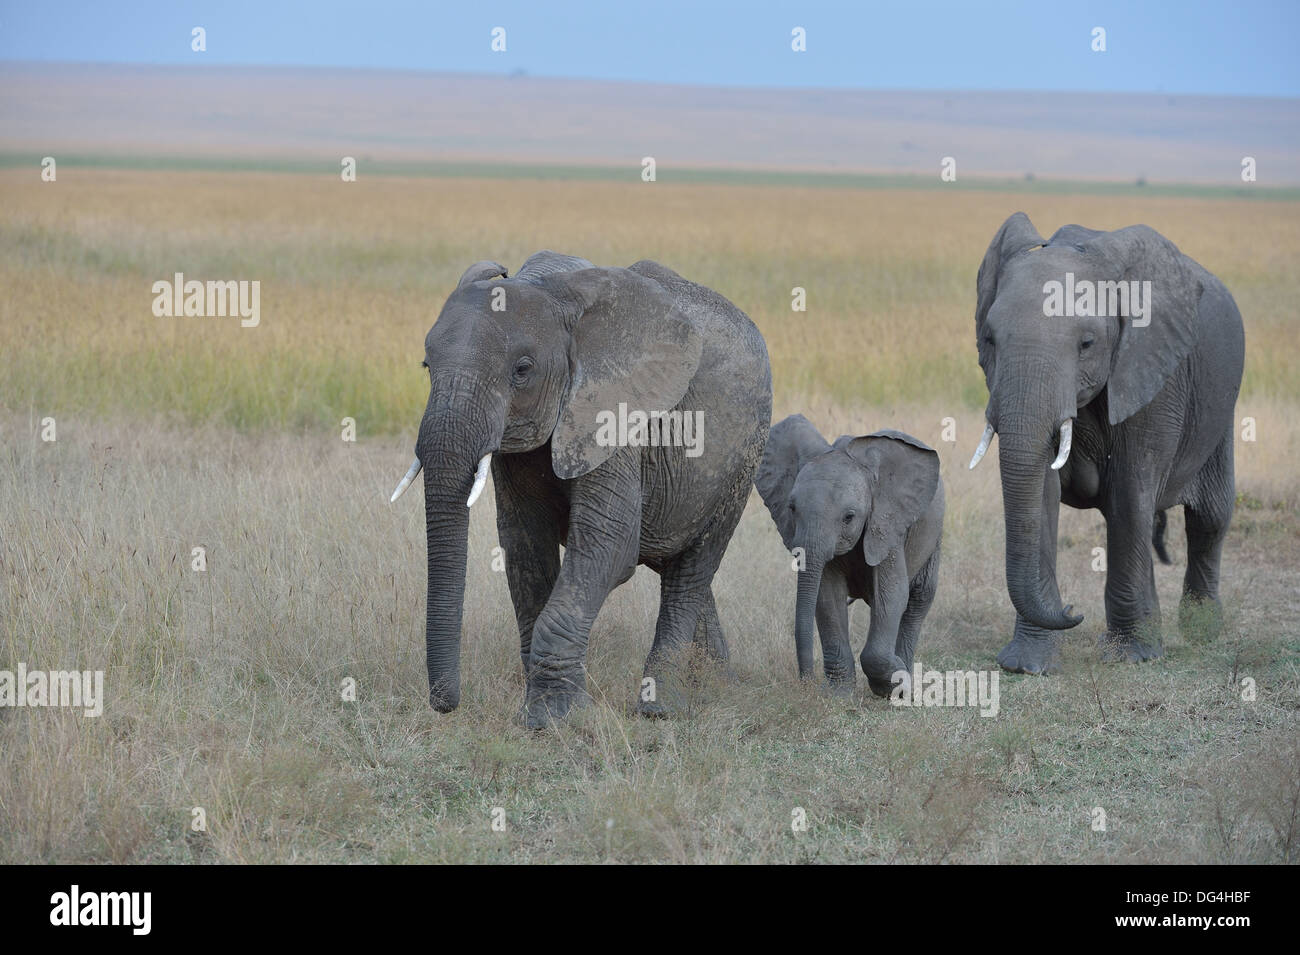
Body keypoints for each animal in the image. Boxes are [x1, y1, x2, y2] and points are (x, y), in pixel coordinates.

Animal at [390, 251, 772, 727]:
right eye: (426, 367)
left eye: (522, 370)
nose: (445, 704)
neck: (549, 291)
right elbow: (523, 544)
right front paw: (542, 707)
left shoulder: (615, 414)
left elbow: (609, 542)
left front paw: (551, 718)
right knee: (678, 562)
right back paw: (718, 683)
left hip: (746, 453)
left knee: (693, 567)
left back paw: (660, 706)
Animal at [756, 415, 944, 696]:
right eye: (791, 508)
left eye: (849, 517)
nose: (807, 681)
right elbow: (827, 596)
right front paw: (839, 695)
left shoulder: (886, 524)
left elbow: (892, 594)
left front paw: (892, 684)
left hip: (935, 537)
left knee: (919, 599)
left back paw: (905, 681)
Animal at [968, 212, 1245, 673]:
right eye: (989, 340)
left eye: (1086, 344)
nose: (1071, 611)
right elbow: (1040, 494)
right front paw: (1026, 665)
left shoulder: (1153, 372)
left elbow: (1130, 493)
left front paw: (1132, 656)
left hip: (1221, 410)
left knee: (1209, 518)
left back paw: (1201, 631)